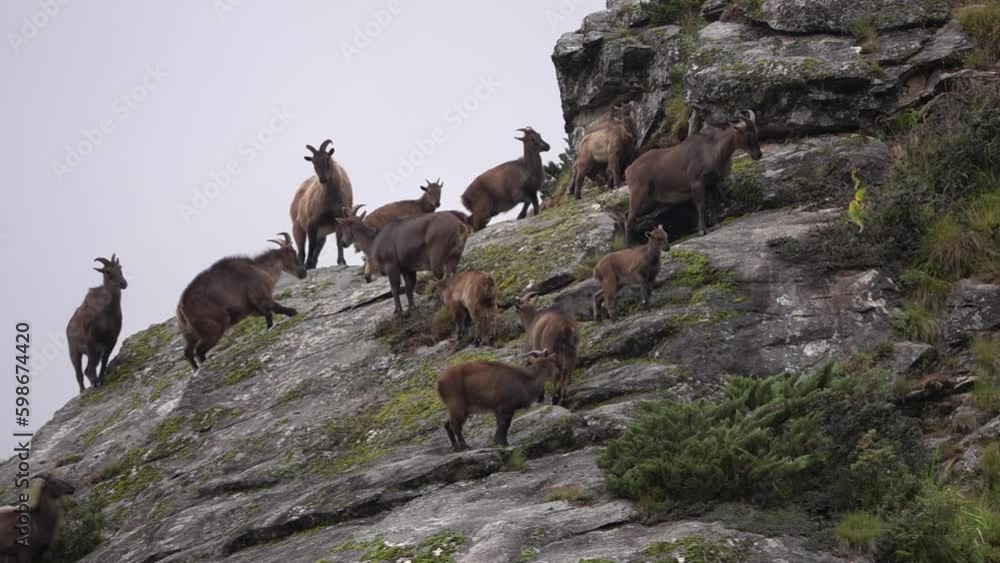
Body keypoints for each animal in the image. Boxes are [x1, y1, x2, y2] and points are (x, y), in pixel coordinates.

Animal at [66, 254, 127, 393]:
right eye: (107, 271)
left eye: (120, 267)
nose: (123, 283)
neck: (107, 312)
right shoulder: (91, 339)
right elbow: (92, 365)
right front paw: (95, 382)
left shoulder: (112, 339)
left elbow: (104, 360)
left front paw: (100, 380)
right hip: (74, 351)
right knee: (80, 373)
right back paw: (83, 390)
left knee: (87, 369)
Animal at [177, 233, 306, 371]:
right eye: (294, 253)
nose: (303, 273)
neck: (261, 268)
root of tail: (182, 307)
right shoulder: (260, 295)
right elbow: (275, 308)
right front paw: (293, 312)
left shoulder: (253, 308)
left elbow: (268, 314)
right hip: (212, 330)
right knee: (199, 351)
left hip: (190, 335)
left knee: (188, 352)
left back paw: (196, 369)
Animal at [289, 140, 355, 269]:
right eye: (313, 161)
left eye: (327, 158)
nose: (323, 179)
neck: (331, 198)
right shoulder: (312, 222)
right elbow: (311, 244)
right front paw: (308, 264)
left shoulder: (339, 218)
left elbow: (339, 240)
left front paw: (341, 261)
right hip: (297, 227)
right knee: (301, 251)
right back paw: (303, 266)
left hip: (321, 233)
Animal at [336, 208, 470, 317]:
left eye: (344, 226)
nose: (343, 243)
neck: (374, 241)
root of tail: (459, 225)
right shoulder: (408, 269)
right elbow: (409, 287)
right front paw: (411, 308)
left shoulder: (391, 265)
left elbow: (395, 288)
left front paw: (397, 311)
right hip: (455, 256)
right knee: (451, 275)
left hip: (436, 256)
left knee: (441, 278)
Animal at [624, 110, 762, 240]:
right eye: (748, 134)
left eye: (756, 131)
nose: (758, 155)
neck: (712, 151)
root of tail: (629, 170)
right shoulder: (697, 182)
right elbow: (701, 205)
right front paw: (702, 230)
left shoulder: (711, 183)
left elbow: (714, 204)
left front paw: (716, 224)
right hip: (639, 193)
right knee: (630, 218)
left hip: (649, 199)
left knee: (629, 217)